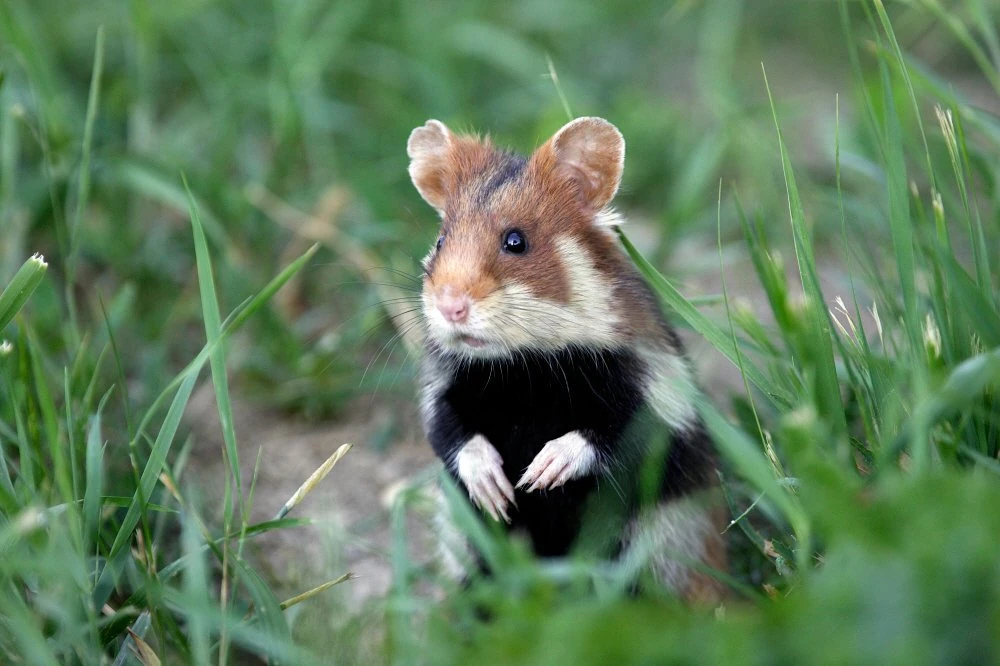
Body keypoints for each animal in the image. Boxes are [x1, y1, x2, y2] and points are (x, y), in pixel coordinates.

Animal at [407, 116, 725, 601]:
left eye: (515, 241)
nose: (450, 308)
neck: (525, 364)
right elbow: (451, 432)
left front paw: (538, 475)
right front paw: (499, 491)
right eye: (441, 241)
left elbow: (615, 433)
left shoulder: (655, 390)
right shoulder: (444, 389)